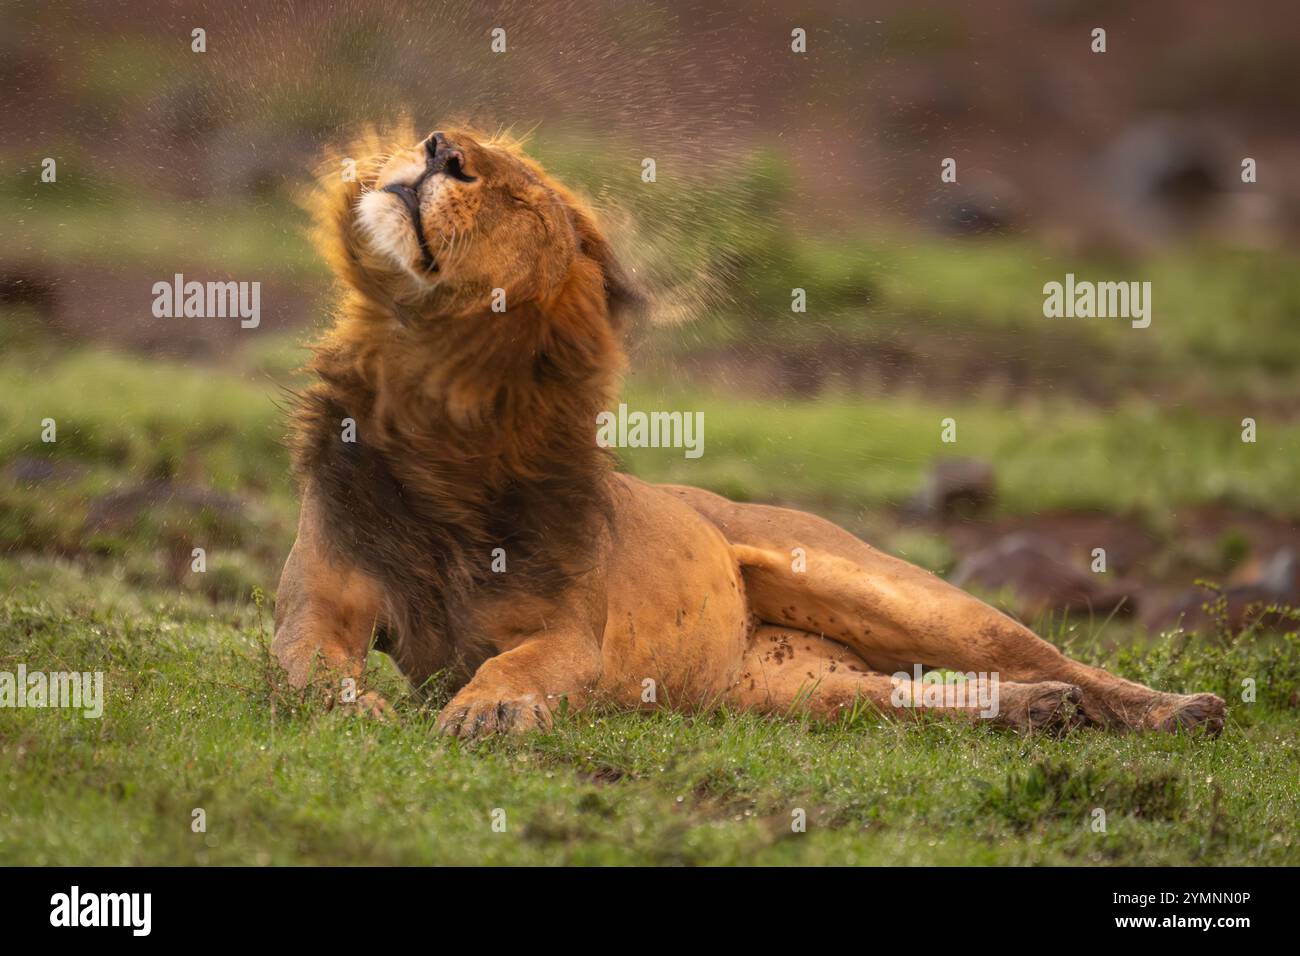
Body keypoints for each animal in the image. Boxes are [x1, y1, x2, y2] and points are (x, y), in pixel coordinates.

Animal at [272, 124, 1226, 737]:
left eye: (526, 198)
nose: (440, 149)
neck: (440, 420)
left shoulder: (575, 631)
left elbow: (522, 663)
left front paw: (488, 708)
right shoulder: (314, 610)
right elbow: (307, 673)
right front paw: (358, 714)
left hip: (899, 595)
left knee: (1046, 654)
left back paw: (1179, 711)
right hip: (794, 688)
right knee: (891, 696)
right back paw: (1037, 713)